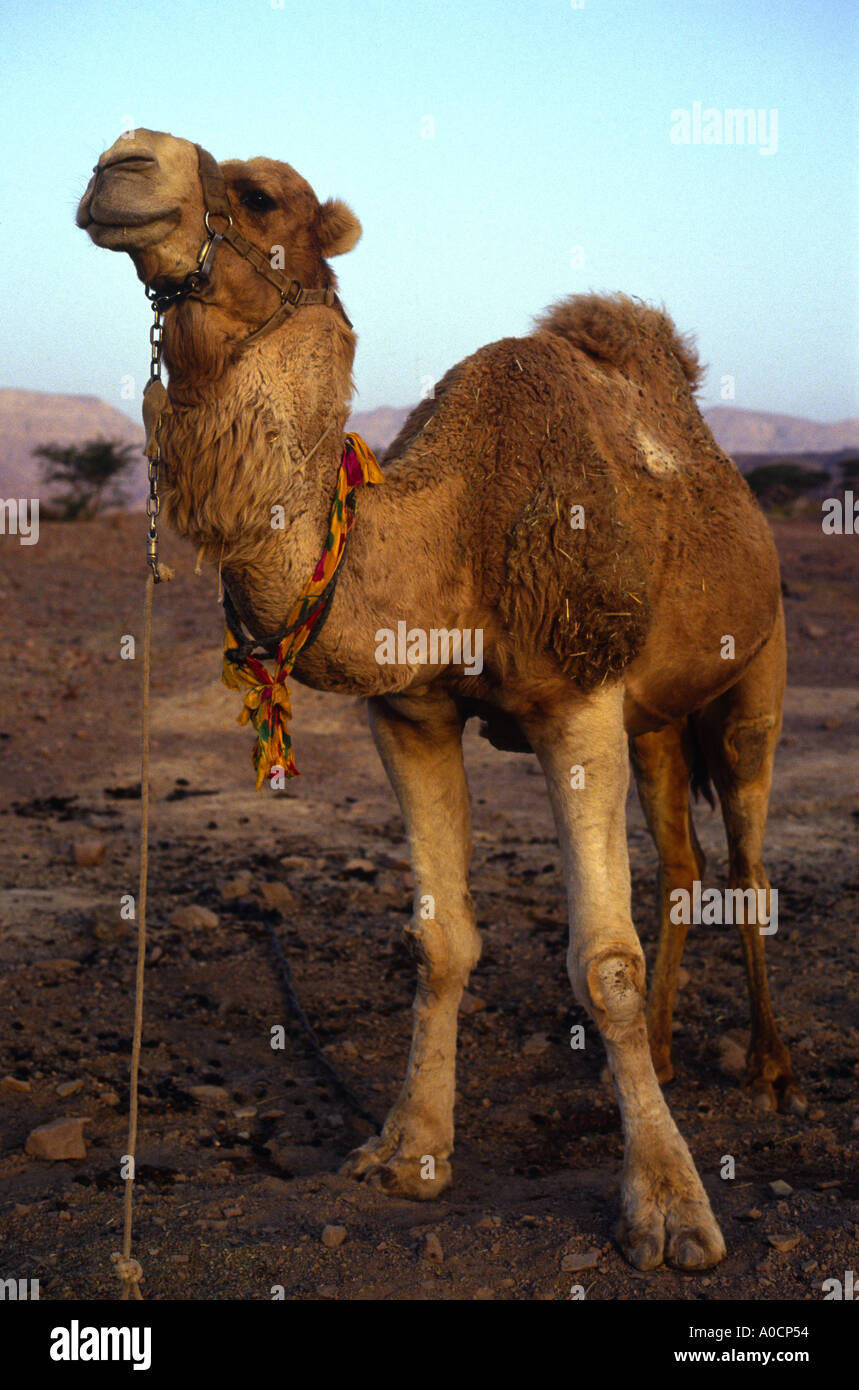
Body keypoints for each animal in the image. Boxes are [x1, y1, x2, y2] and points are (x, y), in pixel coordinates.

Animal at [77, 129, 805, 1272]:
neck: (449, 535)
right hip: (654, 721)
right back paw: (666, 1049)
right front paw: (408, 1152)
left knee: (745, 860)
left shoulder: (577, 698)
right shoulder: (412, 713)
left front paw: (670, 1211)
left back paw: (769, 1070)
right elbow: (440, 940)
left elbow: (602, 961)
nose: (121, 160)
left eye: (261, 193)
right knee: (684, 866)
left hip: (753, 675)